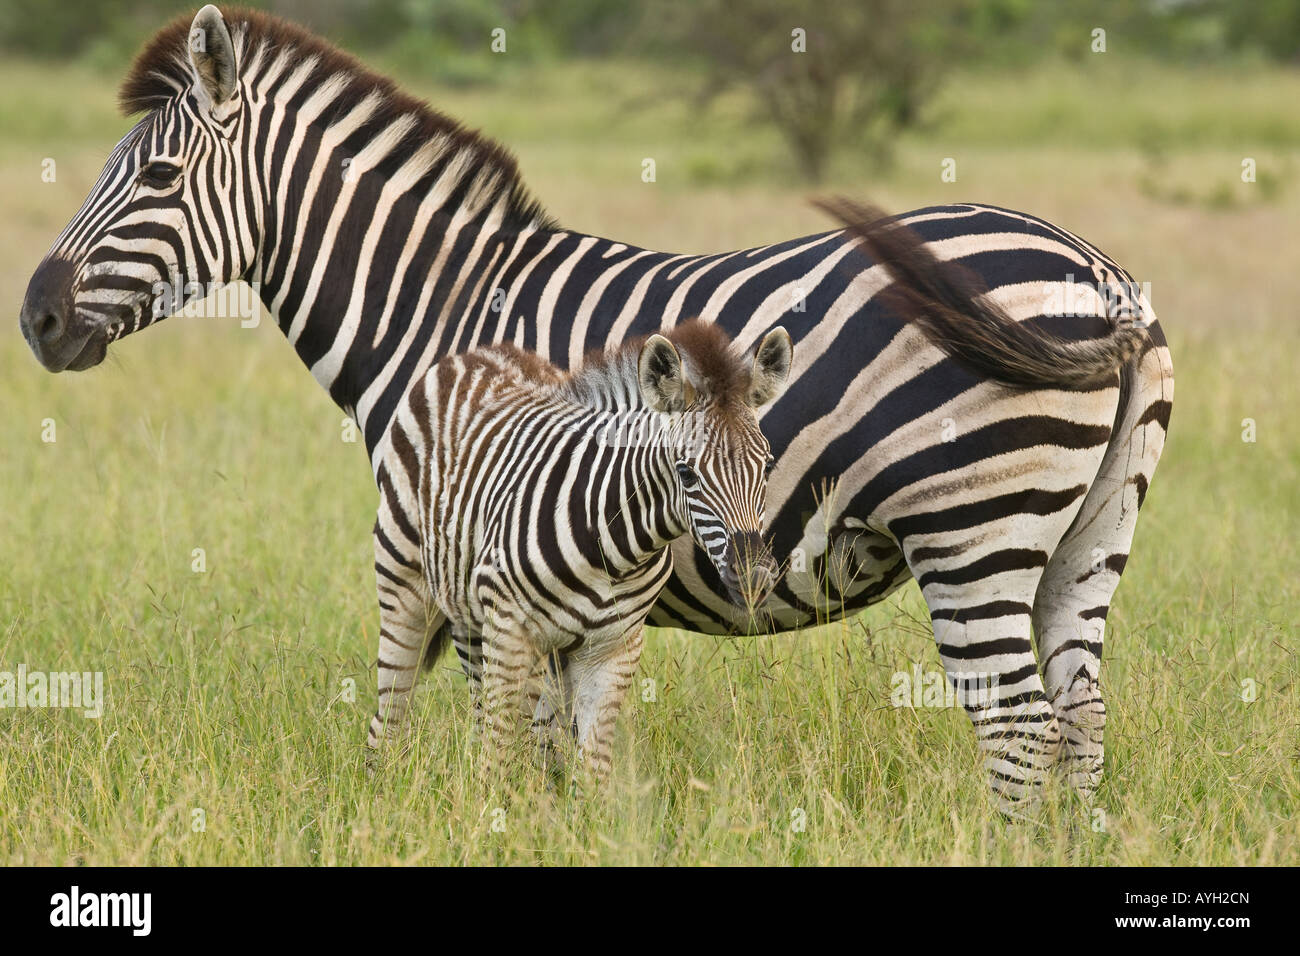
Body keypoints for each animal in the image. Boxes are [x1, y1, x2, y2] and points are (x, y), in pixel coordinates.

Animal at [372, 319, 791, 775]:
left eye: (767, 466)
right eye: (686, 474)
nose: (754, 576)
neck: (616, 551)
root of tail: (475, 354)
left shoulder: (614, 650)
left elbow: (592, 764)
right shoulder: (511, 629)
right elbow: (498, 751)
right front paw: (491, 796)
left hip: (475, 609)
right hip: (406, 581)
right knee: (393, 708)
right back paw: (384, 781)